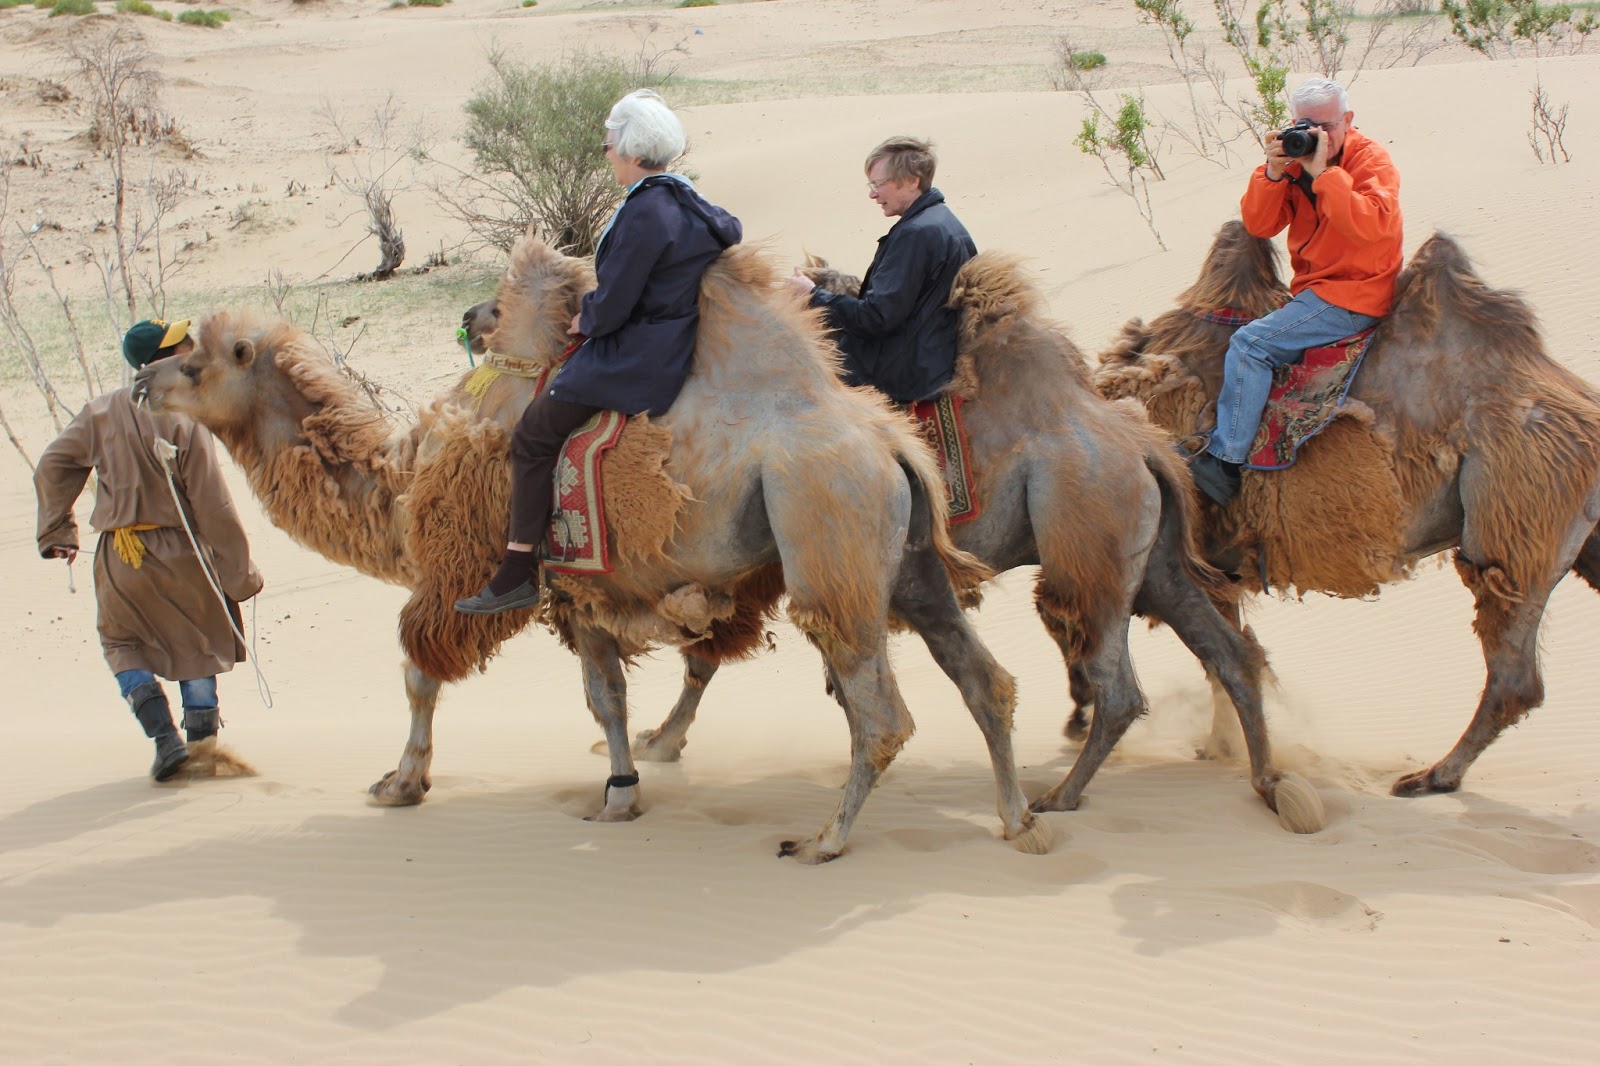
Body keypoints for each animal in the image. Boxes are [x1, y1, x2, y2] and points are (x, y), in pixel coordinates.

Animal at [133, 240, 1053, 864]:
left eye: (200, 360)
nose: (141, 382)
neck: (406, 474)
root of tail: (894, 446)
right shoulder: (580, 590)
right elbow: (605, 699)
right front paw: (619, 793)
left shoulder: (470, 572)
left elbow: (420, 672)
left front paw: (401, 784)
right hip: (909, 563)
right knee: (987, 680)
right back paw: (1020, 820)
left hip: (829, 536)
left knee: (881, 713)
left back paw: (825, 838)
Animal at [558, 251, 1325, 834]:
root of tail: (1147, 449)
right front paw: (657, 743)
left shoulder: (773, 560)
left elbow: (706, 658)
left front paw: (657, 744)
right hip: (1153, 556)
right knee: (1228, 652)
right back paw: (1266, 778)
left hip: (1092, 546)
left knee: (1122, 686)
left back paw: (1060, 794)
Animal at [1094, 220, 1600, 798]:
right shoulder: (1217, 564)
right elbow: (1224, 654)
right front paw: (1216, 748)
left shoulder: (1184, 557)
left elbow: (1215, 655)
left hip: (1518, 515)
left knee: (1513, 674)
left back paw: (1432, 776)